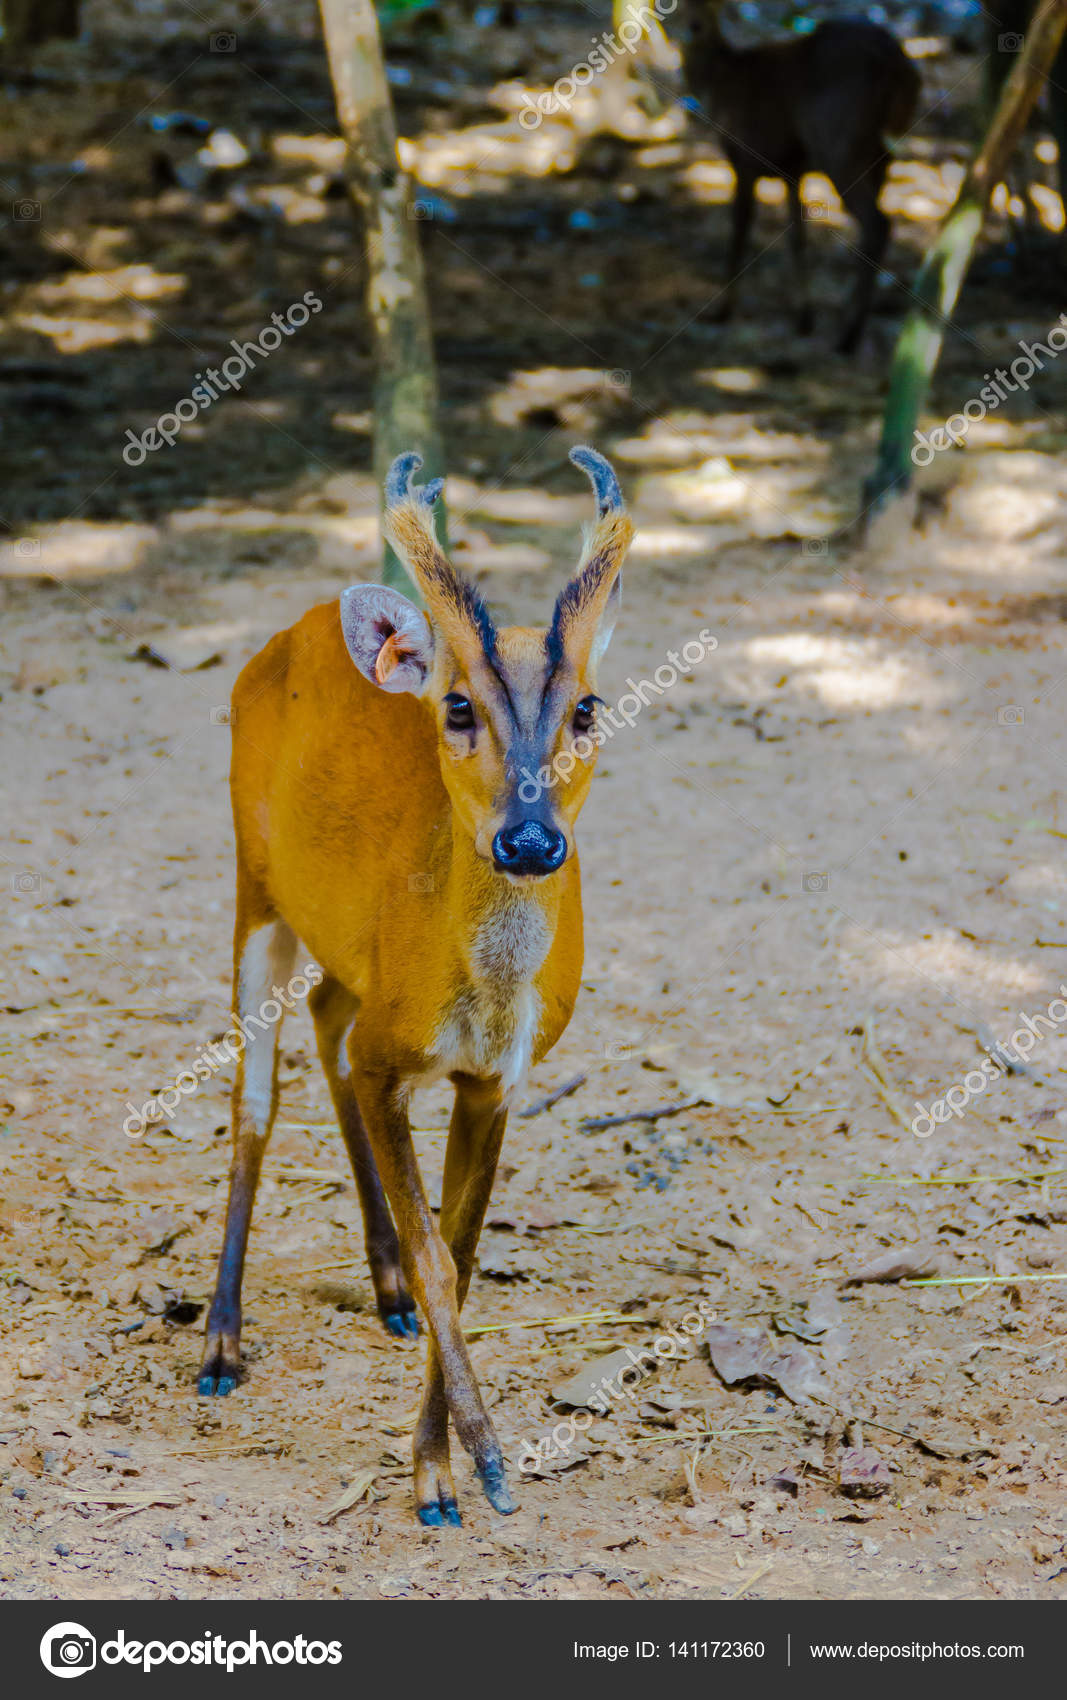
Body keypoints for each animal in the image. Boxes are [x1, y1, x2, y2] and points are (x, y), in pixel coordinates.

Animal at [197, 446, 634, 1527]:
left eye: (587, 707)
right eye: (457, 706)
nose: (529, 840)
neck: (476, 997)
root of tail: (297, 630)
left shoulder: (495, 1078)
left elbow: (461, 1255)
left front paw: (435, 1459)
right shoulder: (395, 1058)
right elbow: (442, 1249)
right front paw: (471, 1468)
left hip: (345, 958)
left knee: (324, 1018)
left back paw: (385, 1288)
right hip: (252, 885)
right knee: (254, 1096)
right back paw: (221, 1341)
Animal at [673, 0, 921, 353]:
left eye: (712, 6)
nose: (694, 27)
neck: (722, 84)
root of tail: (901, 68)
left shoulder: (746, 158)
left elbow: (739, 230)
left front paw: (722, 310)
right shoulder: (791, 171)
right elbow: (797, 239)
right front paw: (804, 318)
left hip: (840, 146)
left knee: (878, 223)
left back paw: (848, 336)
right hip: (882, 155)